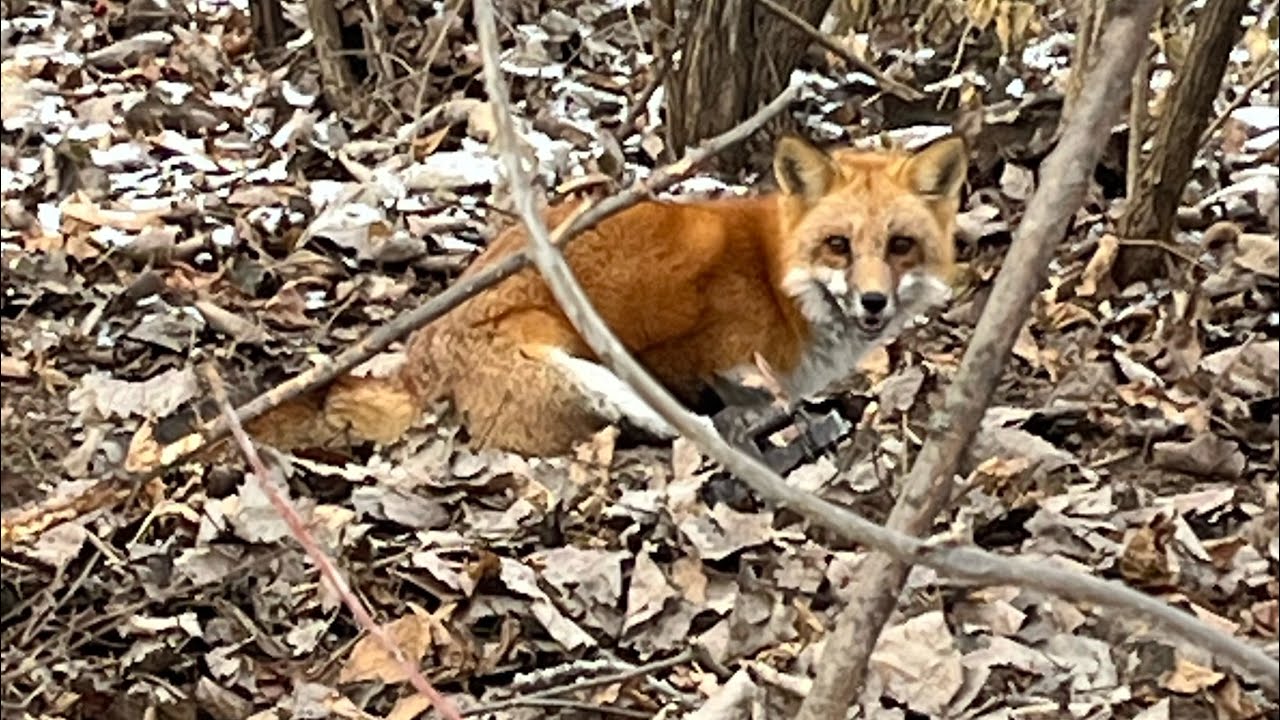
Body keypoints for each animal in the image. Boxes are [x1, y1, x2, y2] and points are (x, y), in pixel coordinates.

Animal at [247, 134, 968, 458]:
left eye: (901, 246)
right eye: (839, 246)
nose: (874, 303)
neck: (773, 278)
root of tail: (418, 368)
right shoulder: (711, 362)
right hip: (596, 373)